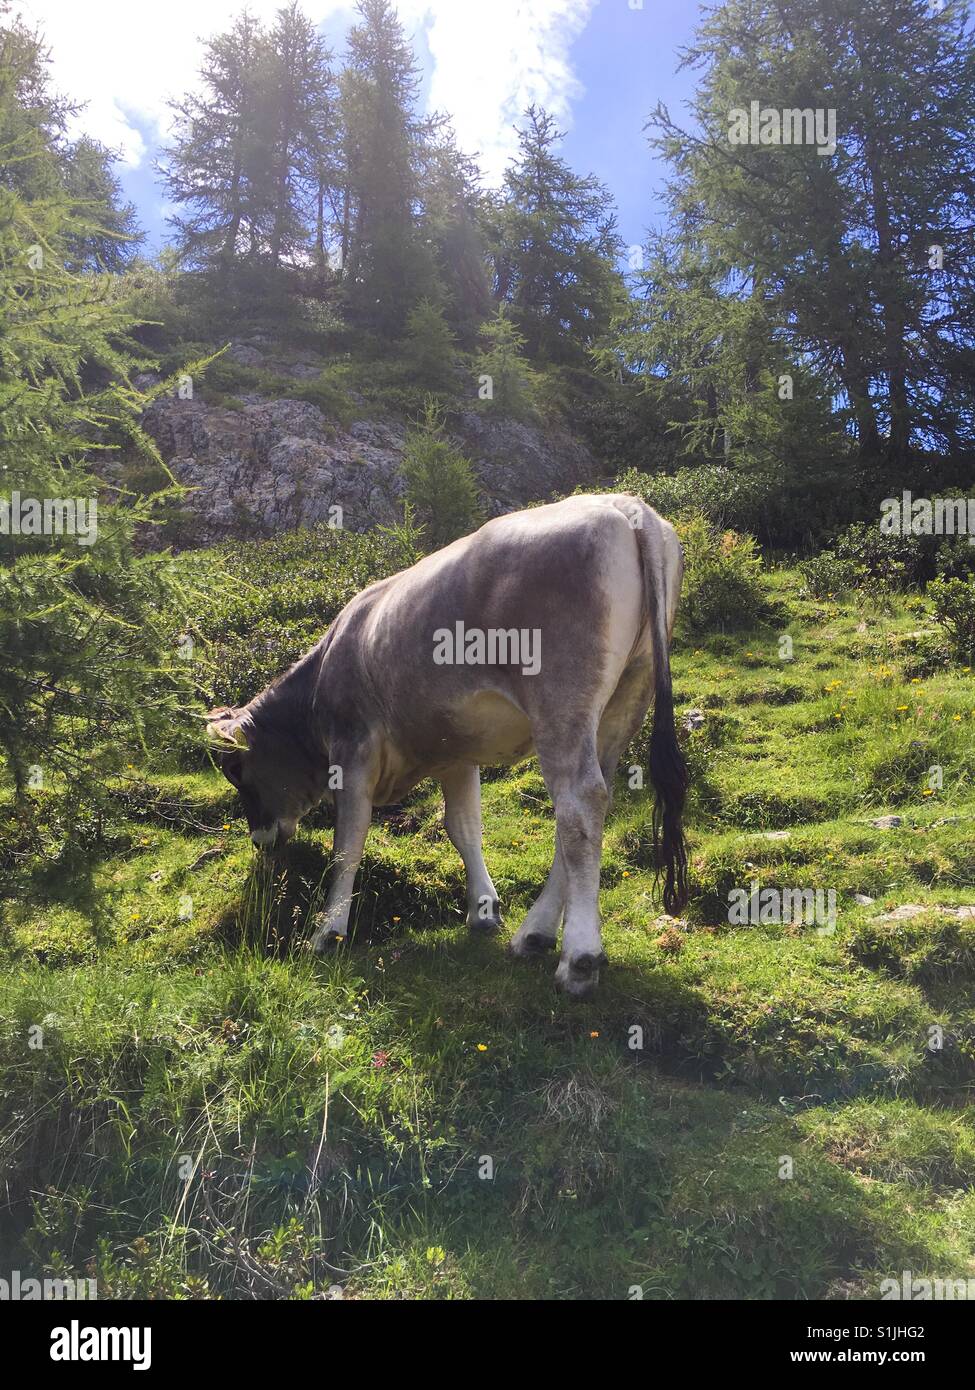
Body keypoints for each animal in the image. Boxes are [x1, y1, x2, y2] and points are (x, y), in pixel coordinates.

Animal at [206, 493, 687, 998]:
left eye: (237, 771)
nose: (259, 838)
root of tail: (624, 506)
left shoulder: (353, 752)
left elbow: (348, 842)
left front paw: (328, 932)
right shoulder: (456, 752)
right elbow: (463, 827)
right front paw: (483, 909)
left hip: (561, 702)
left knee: (579, 804)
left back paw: (579, 957)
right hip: (625, 700)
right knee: (590, 804)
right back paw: (533, 934)